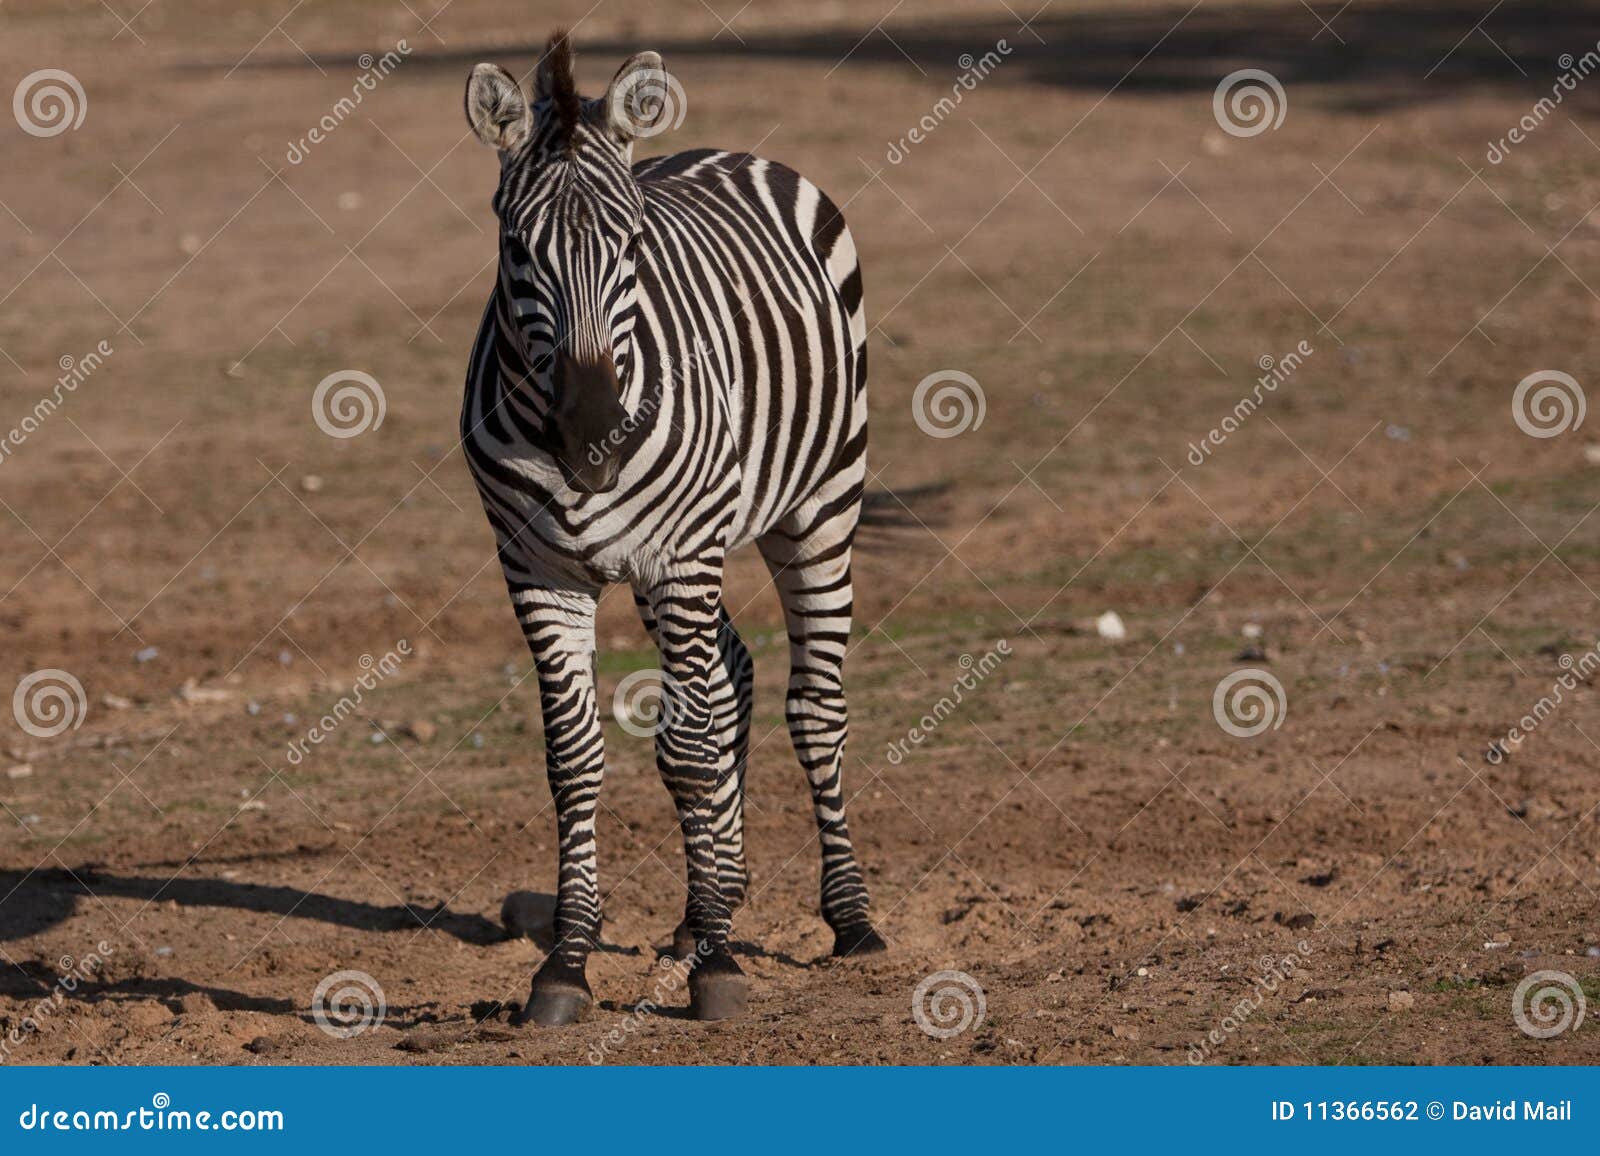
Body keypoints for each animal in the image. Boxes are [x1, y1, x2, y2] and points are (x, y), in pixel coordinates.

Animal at [460, 30, 886, 1025]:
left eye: (632, 243)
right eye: (515, 248)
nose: (591, 437)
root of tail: (723, 150)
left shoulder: (680, 556)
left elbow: (688, 750)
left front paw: (720, 968)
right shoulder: (537, 571)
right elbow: (575, 759)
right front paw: (568, 962)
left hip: (818, 506)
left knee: (813, 707)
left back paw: (847, 919)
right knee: (731, 677)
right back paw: (707, 906)